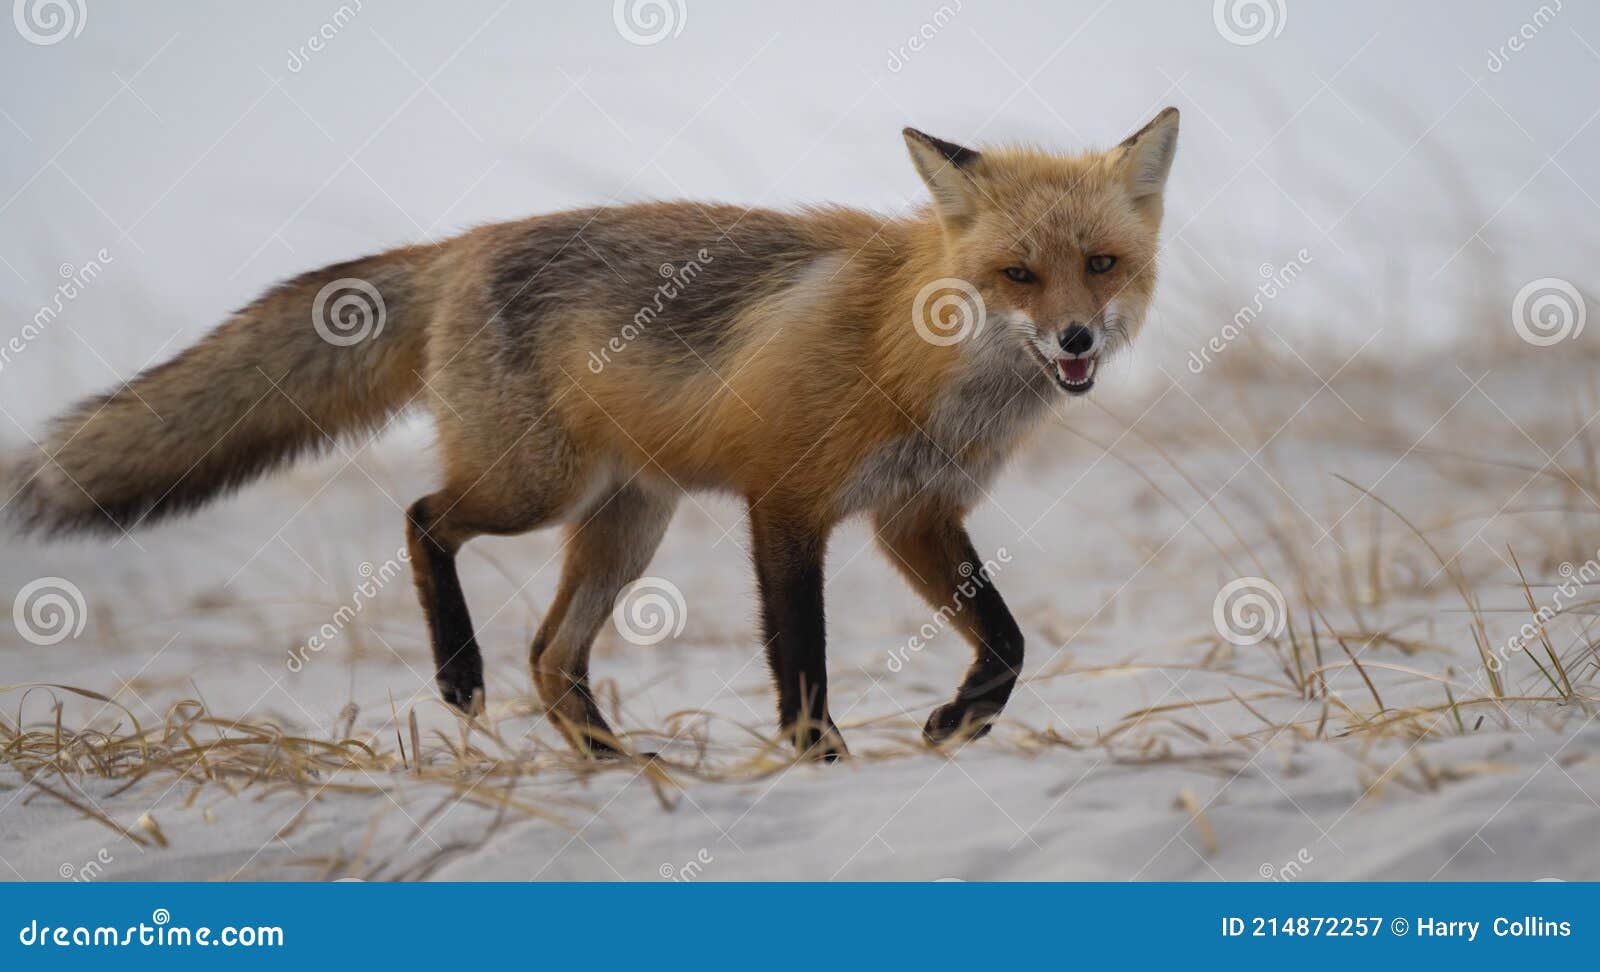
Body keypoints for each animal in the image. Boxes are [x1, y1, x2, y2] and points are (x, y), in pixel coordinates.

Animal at [7, 107, 1179, 761]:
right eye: (1017, 274)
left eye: (1101, 264)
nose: (1076, 338)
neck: (906, 355)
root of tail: (464, 241)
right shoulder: (786, 503)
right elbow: (802, 660)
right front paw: (819, 758)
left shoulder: (912, 514)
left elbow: (1008, 643)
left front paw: (956, 725)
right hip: (539, 489)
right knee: (424, 520)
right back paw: (460, 678)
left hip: (625, 525)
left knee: (550, 654)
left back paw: (618, 765)